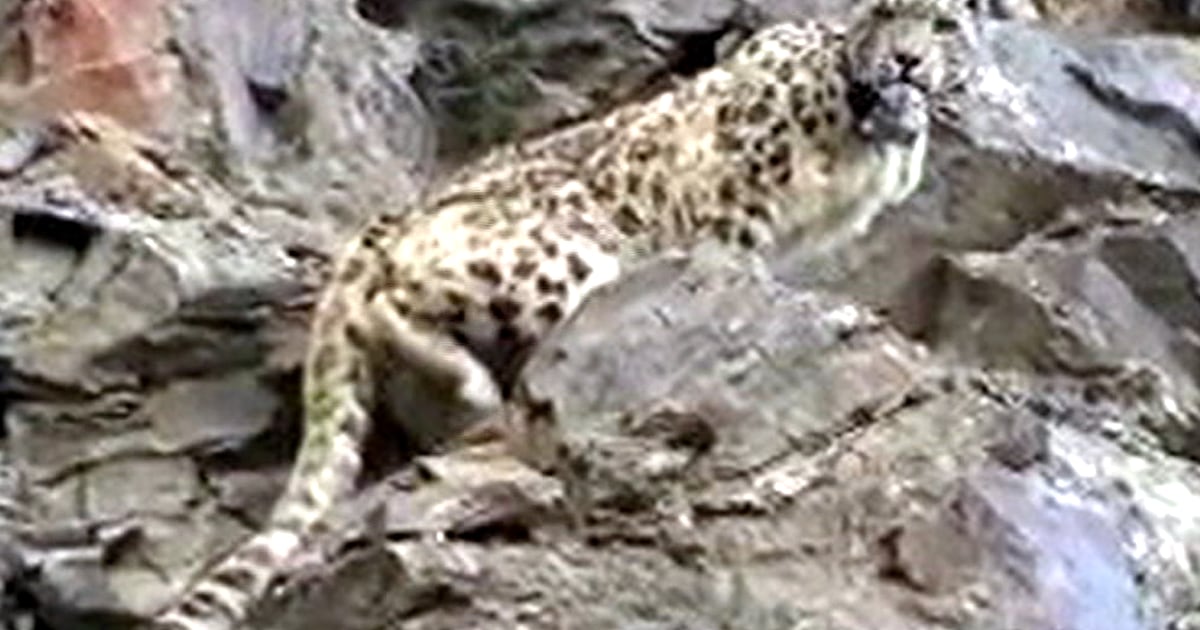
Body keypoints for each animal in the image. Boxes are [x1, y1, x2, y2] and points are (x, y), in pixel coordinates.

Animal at [154, 1, 977, 627]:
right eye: (886, 13)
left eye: (943, 23)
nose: (908, 63)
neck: (866, 148)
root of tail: (397, 215)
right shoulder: (729, 196)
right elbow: (731, 254)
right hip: (566, 256)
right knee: (400, 298)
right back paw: (477, 388)